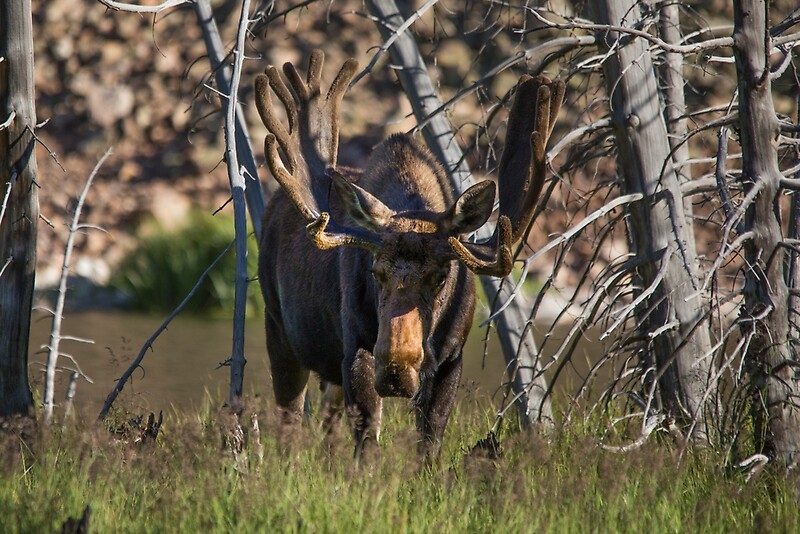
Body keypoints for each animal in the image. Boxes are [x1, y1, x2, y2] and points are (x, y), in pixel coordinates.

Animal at [254, 50, 562, 460]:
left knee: (326, 423)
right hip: (278, 329)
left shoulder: (451, 359)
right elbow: (367, 443)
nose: (397, 368)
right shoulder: (356, 350)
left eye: (441, 277)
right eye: (375, 272)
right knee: (289, 421)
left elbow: (429, 444)